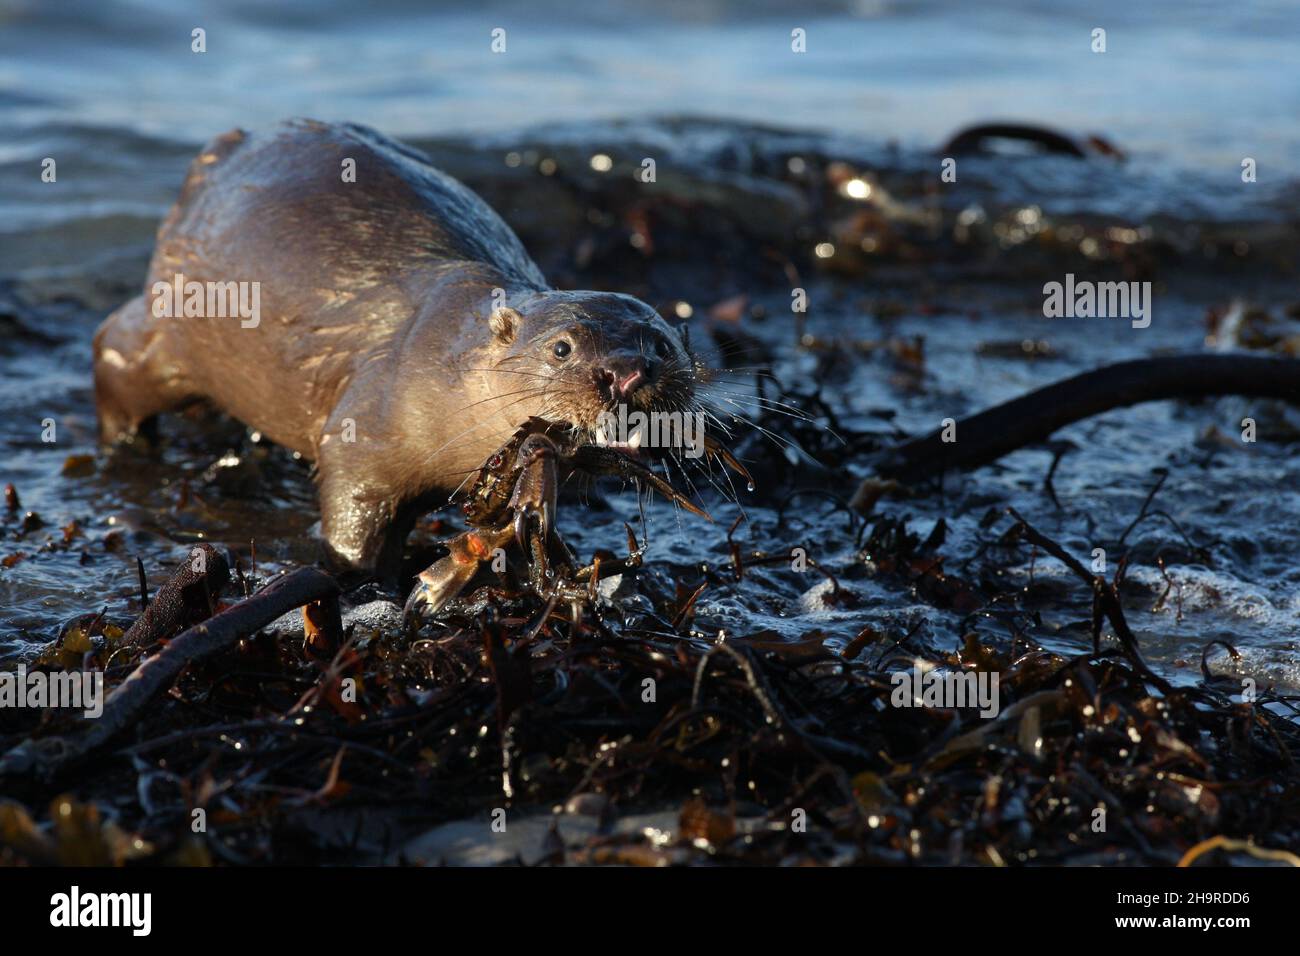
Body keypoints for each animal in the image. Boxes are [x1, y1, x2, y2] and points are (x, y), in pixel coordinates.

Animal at [93, 119, 701, 577]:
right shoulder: (365, 428)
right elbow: (352, 509)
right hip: (174, 323)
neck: (440, 366)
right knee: (114, 350)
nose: (626, 372)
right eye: (562, 349)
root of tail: (224, 150)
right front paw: (360, 577)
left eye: (662, 346)